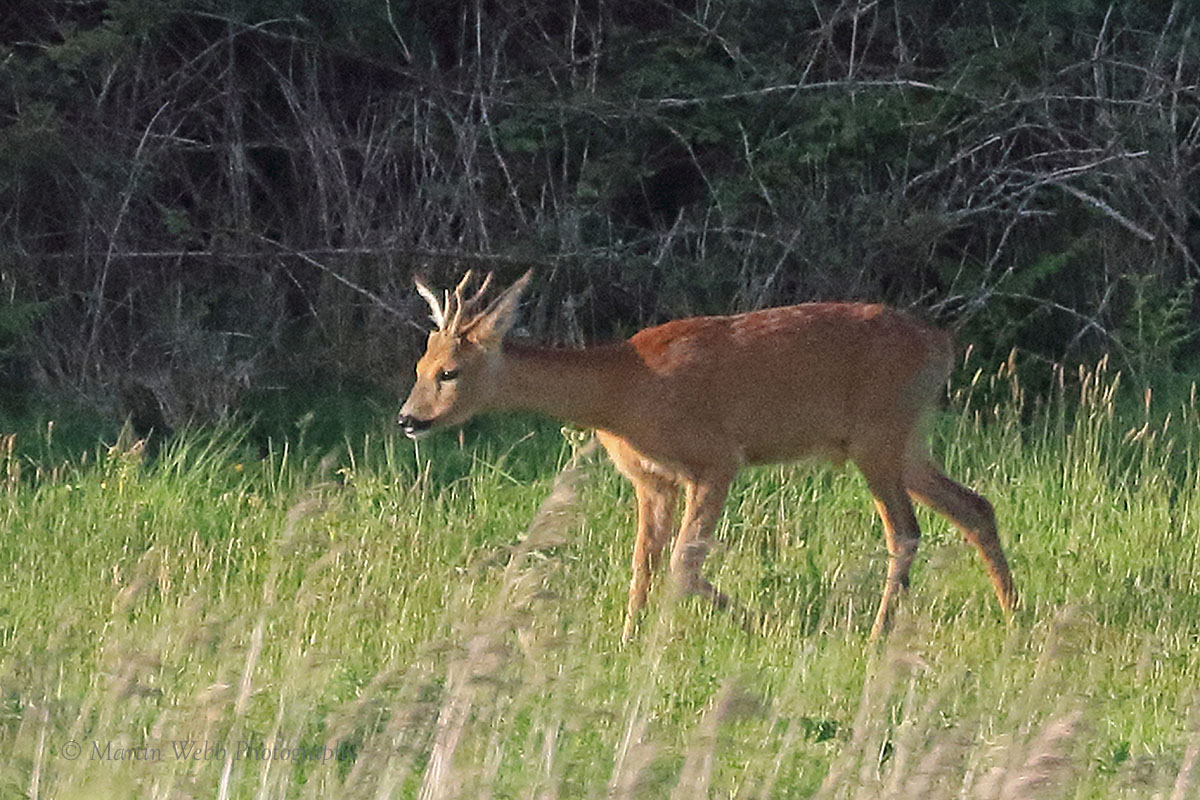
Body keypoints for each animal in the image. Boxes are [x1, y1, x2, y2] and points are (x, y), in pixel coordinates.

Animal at [398, 270, 1017, 640]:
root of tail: (943, 346)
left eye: (449, 372)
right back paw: (1014, 611)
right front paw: (627, 637)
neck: (622, 391)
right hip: (905, 440)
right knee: (975, 507)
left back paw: (879, 630)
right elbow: (643, 561)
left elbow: (682, 562)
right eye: (419, 366)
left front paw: (752, 624)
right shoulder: (652, 480)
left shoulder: (716, 458)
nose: (408, 418)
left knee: (905, 531)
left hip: (878, 435)